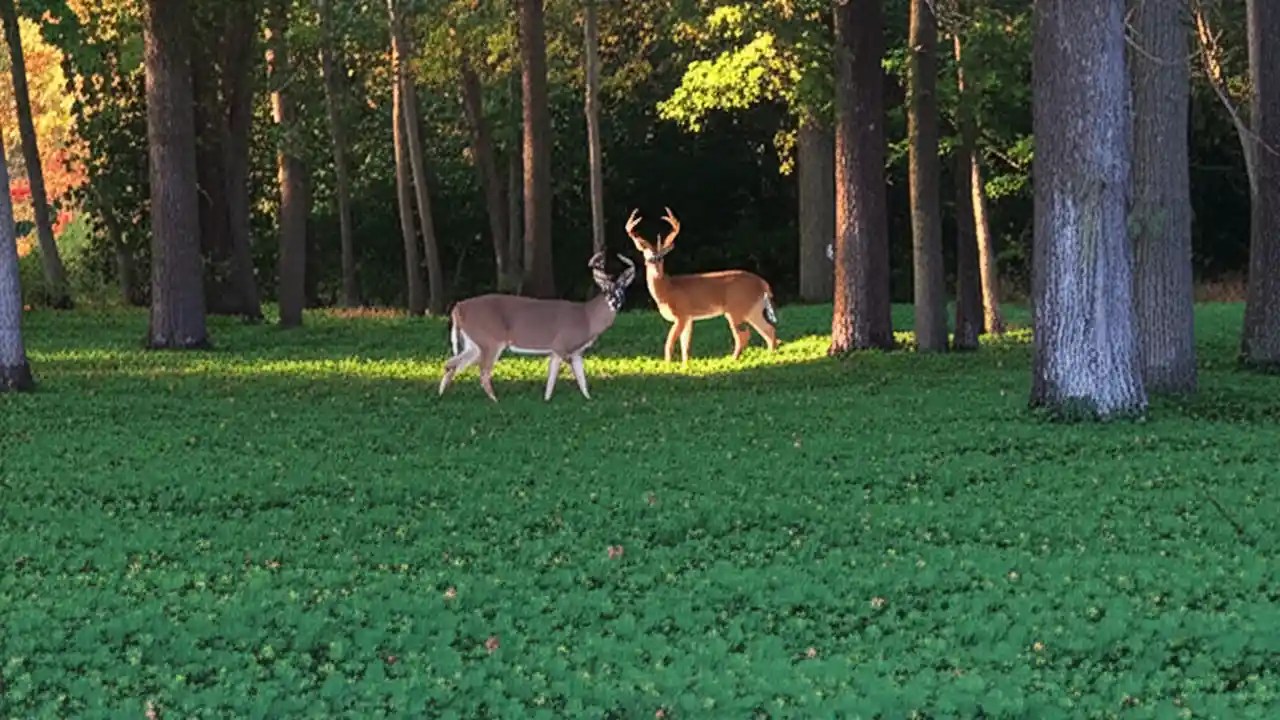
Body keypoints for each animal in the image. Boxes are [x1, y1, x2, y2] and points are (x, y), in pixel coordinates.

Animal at [438, 252, 636, 402]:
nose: (615, 302)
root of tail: (458, 307)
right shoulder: (562, 344)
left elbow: (572, 378)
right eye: (606, 290)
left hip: (474, 343)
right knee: (482, 372)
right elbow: (565, 374)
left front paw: (581, 398)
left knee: (451, 364)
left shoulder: (572, 351)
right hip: (490, 339)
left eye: (622, 290)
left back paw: (442, 394)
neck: (587, 318)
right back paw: (496, 401)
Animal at [625, 207, 778, 365]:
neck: (667, 289)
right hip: (753, 309)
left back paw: (733, 360)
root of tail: (763, 283)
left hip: (736, 308)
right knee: (769, 330)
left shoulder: (681, 314)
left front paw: (667, 365)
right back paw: (769, 356)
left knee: (744, 335)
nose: (654, 265)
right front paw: (685, 365)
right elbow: (685, 346)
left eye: (661, 258)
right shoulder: (689, 317)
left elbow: (669, 343)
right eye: (646, 257)